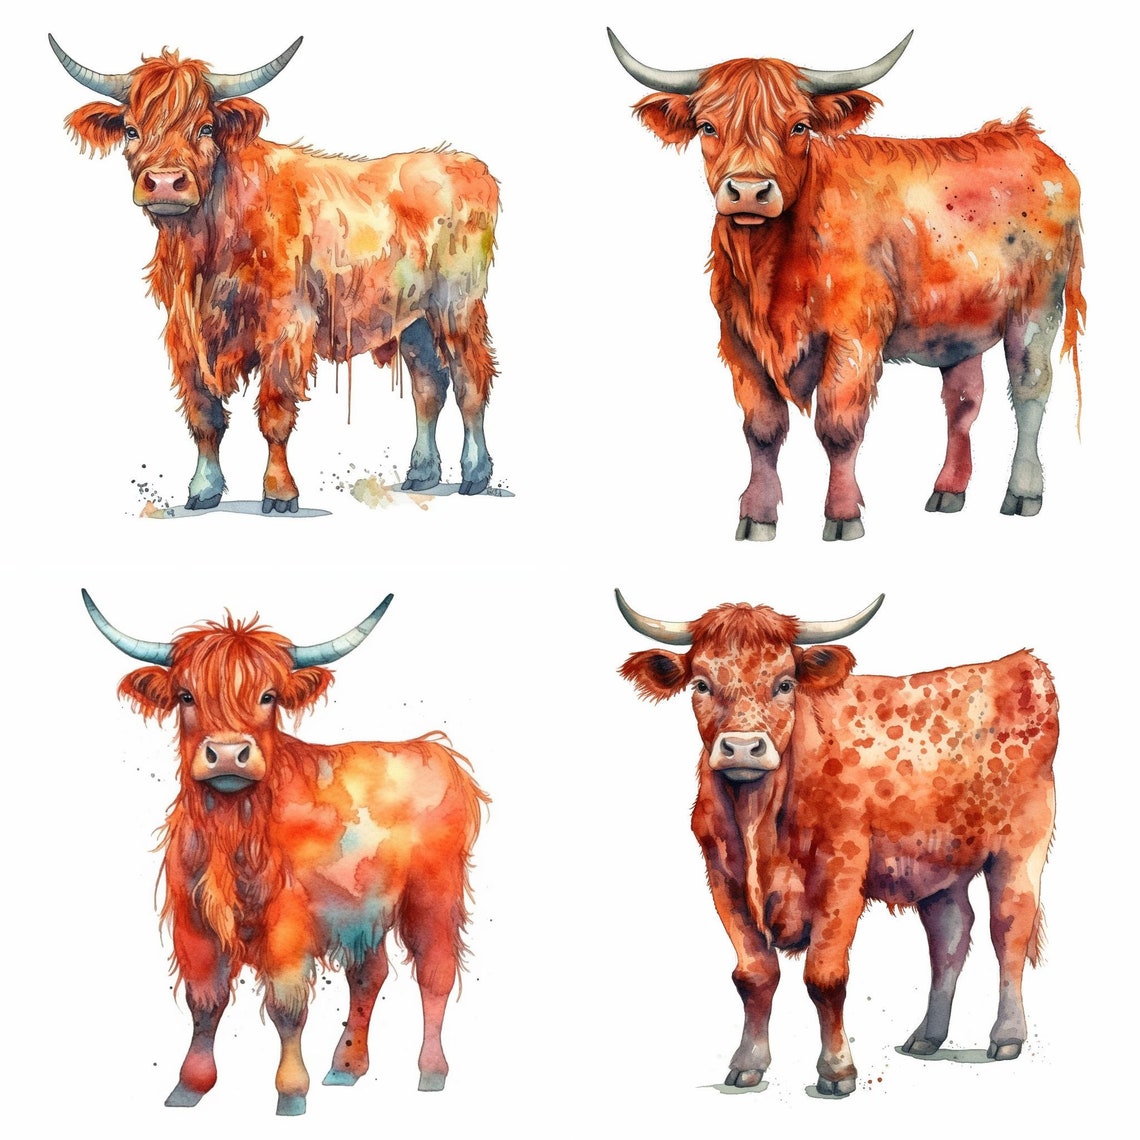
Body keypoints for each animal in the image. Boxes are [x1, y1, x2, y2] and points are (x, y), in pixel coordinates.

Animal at [53, 35, 499, 512]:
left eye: (206, 128)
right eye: (132, 130)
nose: (167, 183)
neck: (211, 242)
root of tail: (464, 163)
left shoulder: (287, 326)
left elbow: (275, 412)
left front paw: (280, 492)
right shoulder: (185, 334)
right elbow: (204, 413)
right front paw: (203, 489)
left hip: (457, 305)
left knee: (469, 379)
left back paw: (475, 474)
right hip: (412, 317)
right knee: (428, 384)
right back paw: (422, 473)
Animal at [83, 590, 489, 1115]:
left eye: (268, 696)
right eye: (186, 695)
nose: (228, 754)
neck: (234, 830)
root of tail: (434, 749)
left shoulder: (288, 925)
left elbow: (286, 1007)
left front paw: (291, 1093)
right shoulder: (193, 920)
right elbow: (204, 1001)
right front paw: (189, 1086)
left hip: (433, 895)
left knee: (435, 973)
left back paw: (431, 1072)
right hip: (365, 906)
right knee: (369, 974)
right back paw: (346, 1066)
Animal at [608, 30, 1085, 540]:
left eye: (799, 127)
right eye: (707, 127)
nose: (750, 191)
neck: (770, 271)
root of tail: (1025, 137)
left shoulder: (854, 338)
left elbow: (838, 428)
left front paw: (842, 515)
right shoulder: (739, 342)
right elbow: (762, 429)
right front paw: (756, 516)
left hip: (1037, 308)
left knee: (1031, 389)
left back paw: (1023, 493)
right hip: (959, 325)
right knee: (963, 401)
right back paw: (948, 492)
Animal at [617, 589, 1057, 1095]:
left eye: (785, 683)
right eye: (701, 685)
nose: (743, 747)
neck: (758, 822)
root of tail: (1021, 663)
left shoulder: (842, 876)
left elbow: (825, 977)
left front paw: (837, 1070)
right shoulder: (723, 878)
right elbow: (753, 975)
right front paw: (748, 1064)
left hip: (1020, 849)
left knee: (1009, 929)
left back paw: (1006, 1037)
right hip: (938, 867)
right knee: (949, 937)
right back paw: (926, 1037)